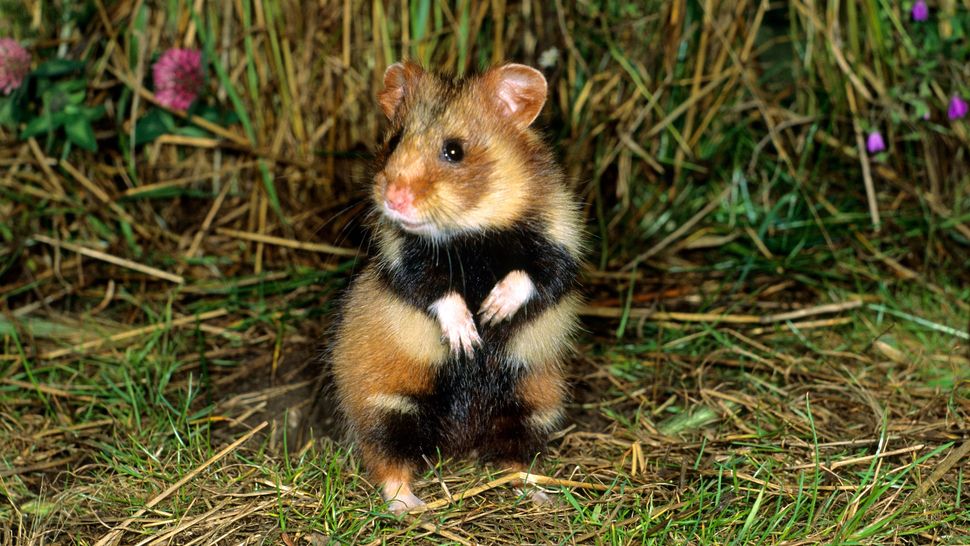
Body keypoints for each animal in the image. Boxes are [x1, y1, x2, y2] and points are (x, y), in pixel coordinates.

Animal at [331, 61, 584, 514]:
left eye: (454, 151)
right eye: (393, 141)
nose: (393, 199)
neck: (472, 229)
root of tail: (459, 444)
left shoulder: (561, 244)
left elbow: (533, 275)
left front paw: (492, 313)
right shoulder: (403, 257)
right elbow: (437, 290)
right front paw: (469, 338)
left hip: (530, 407)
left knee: (514, 458)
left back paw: (538, 494)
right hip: (387, 405)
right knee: (388, 459)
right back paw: (410, 507)